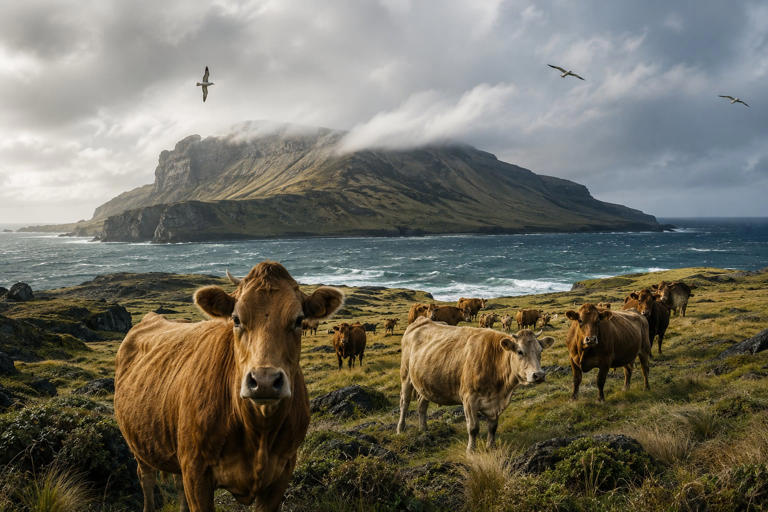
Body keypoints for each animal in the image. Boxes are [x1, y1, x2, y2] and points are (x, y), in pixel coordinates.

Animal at [114, 262, 344, 512]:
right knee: (146, 478)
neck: (258, 432)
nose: (264, 381)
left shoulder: (282, 472)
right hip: (138, 443)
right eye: (236, 319)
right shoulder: (196, 472)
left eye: (299, 320)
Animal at [397, 318, 554, 452]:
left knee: (421, 405)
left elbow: (493, 427)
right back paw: (400, 429)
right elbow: (473, 428)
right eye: (520, 351)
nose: (539, 375)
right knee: (404, 403)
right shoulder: (469, 399)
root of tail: (422, 320)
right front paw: (471, 450)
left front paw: (491, 447)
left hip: (425, 383)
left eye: (540, 351)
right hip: (406, 375)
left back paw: (424, 430)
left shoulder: (495, 404)